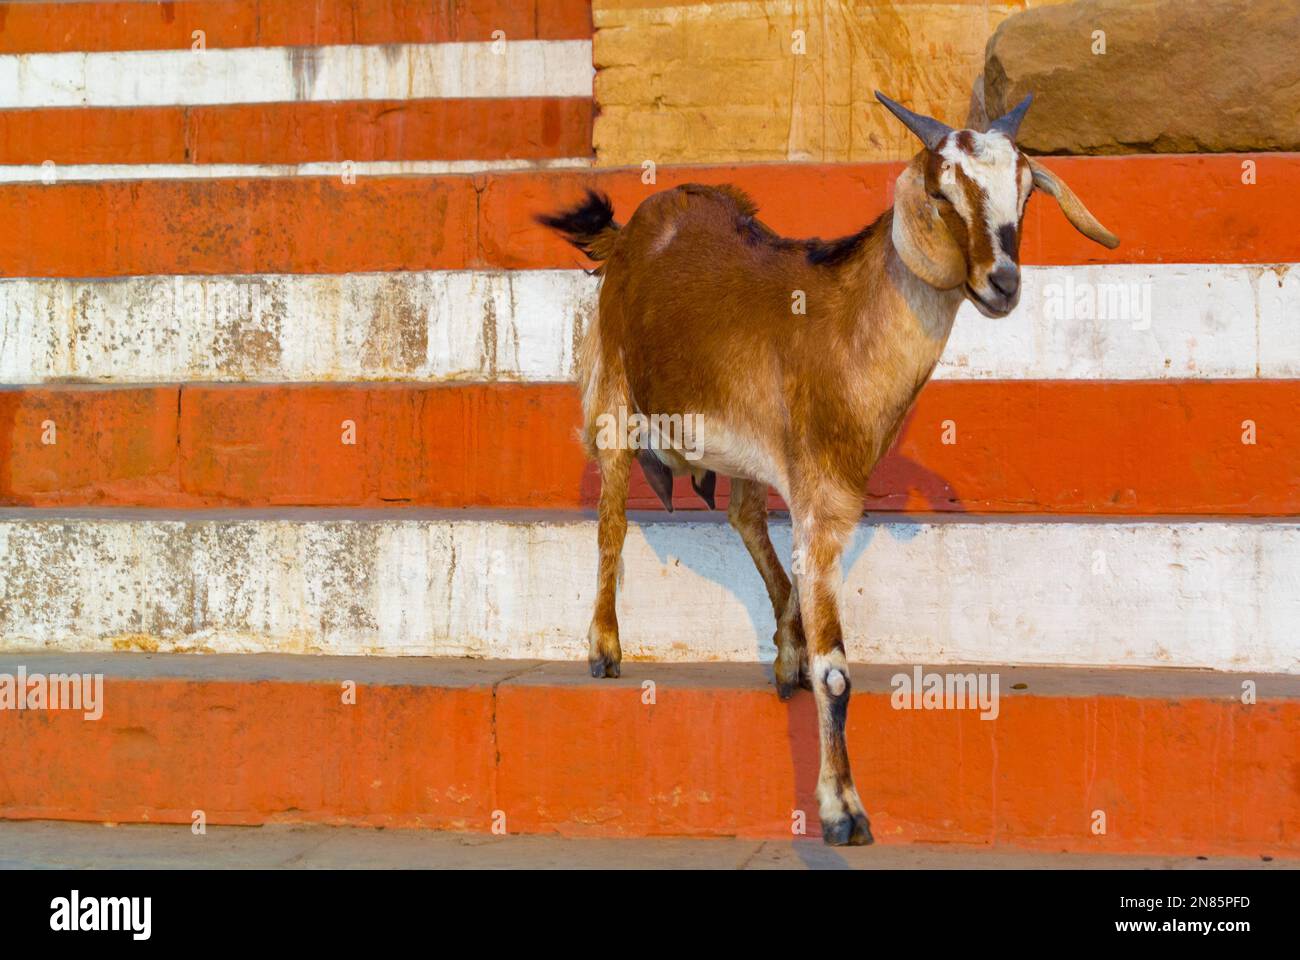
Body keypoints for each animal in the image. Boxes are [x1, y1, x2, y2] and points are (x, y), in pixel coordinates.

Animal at [538, 92, 1118, 846]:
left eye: (1024, 191)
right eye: (941, 193)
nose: (1003, 284)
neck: (846, 329)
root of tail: (635, 227)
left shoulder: (827, 491)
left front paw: (792, 651)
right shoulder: (820, 495)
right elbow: (838, 669)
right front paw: (843, 810)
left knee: (743, 516)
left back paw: (781, 648)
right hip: (612, 385)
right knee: (612, 517)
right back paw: (605, 646)